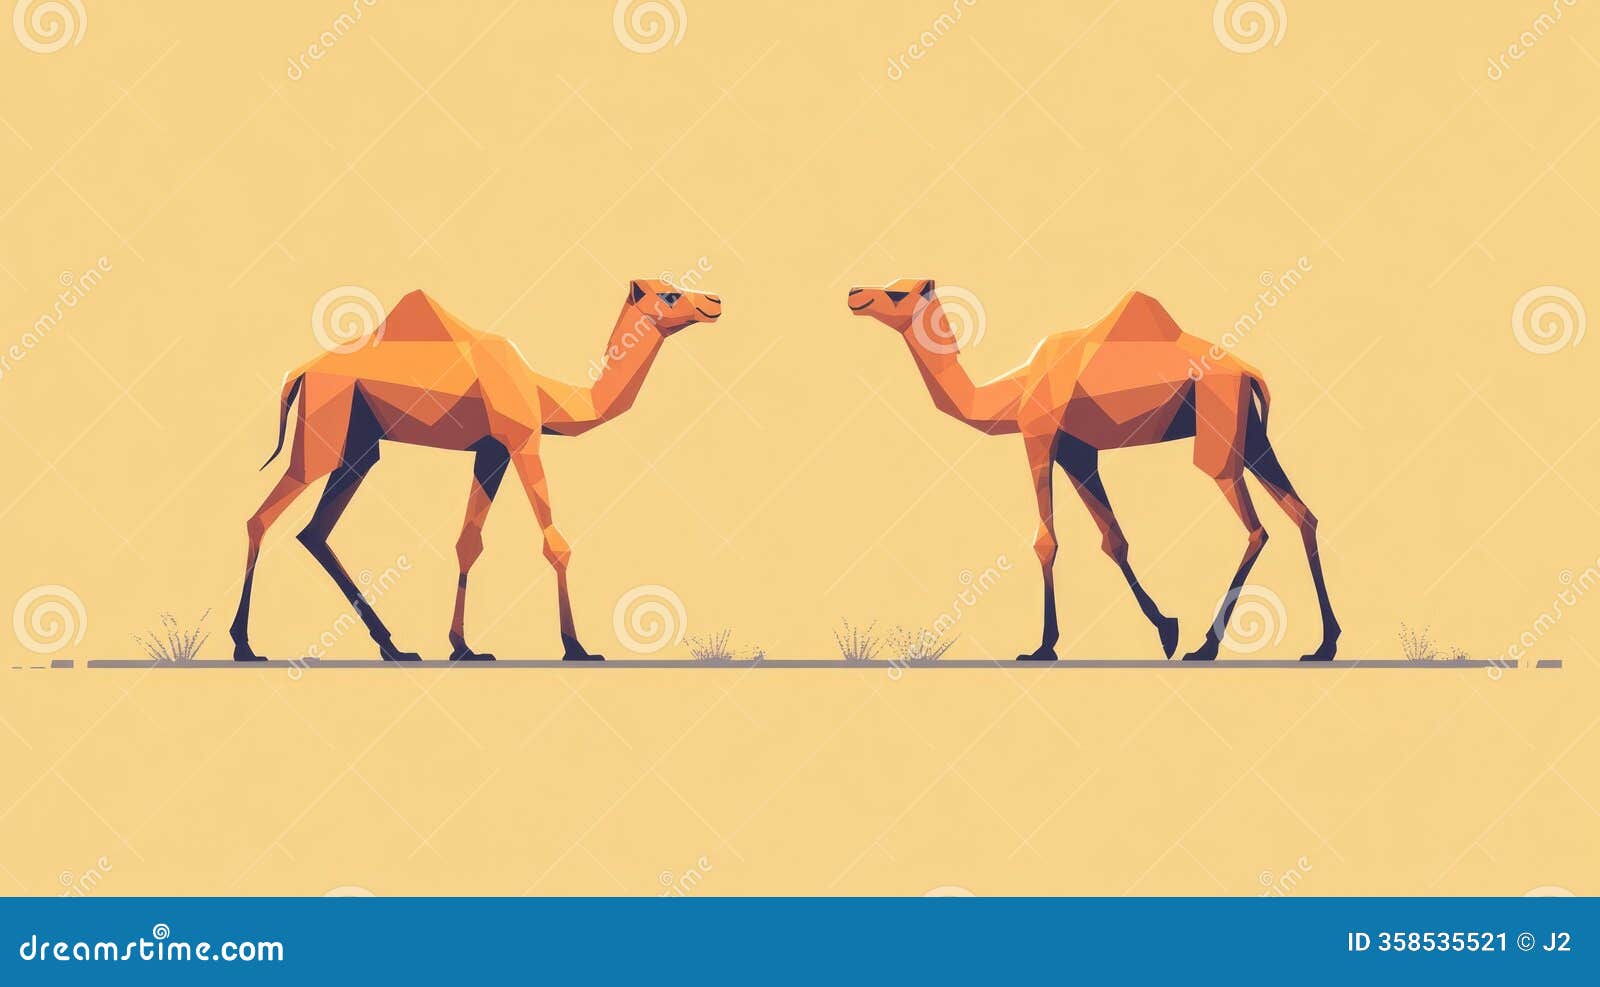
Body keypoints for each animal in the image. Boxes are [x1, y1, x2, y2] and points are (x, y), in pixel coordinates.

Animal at [231, 280, 722, 662]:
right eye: (671, 293)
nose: (714, 301)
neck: (545, 393)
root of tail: (300, 372)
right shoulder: (524, 441)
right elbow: (555, 544)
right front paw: (577, 647)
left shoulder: (491, 453)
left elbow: (468, 543)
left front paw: (462, 646)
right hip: (324, 433)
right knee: (262, 517)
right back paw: (244, 646)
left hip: (361, 444)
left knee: (314, 531)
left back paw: (394, 646)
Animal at [847, 279, 1339, 661]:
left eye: (896, 292)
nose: (854, 294)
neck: (1012, 393)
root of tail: (1251, 373)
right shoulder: (1079, 454)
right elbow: (1113, 539)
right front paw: (1166, 629)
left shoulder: (1039, 437)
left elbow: (1046, 542)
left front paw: (1043, 647)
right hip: (1251, 434)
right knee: (1303, 513)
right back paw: (1324, 645)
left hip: (1218, 427)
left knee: (1256, 527)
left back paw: (1206, 648)